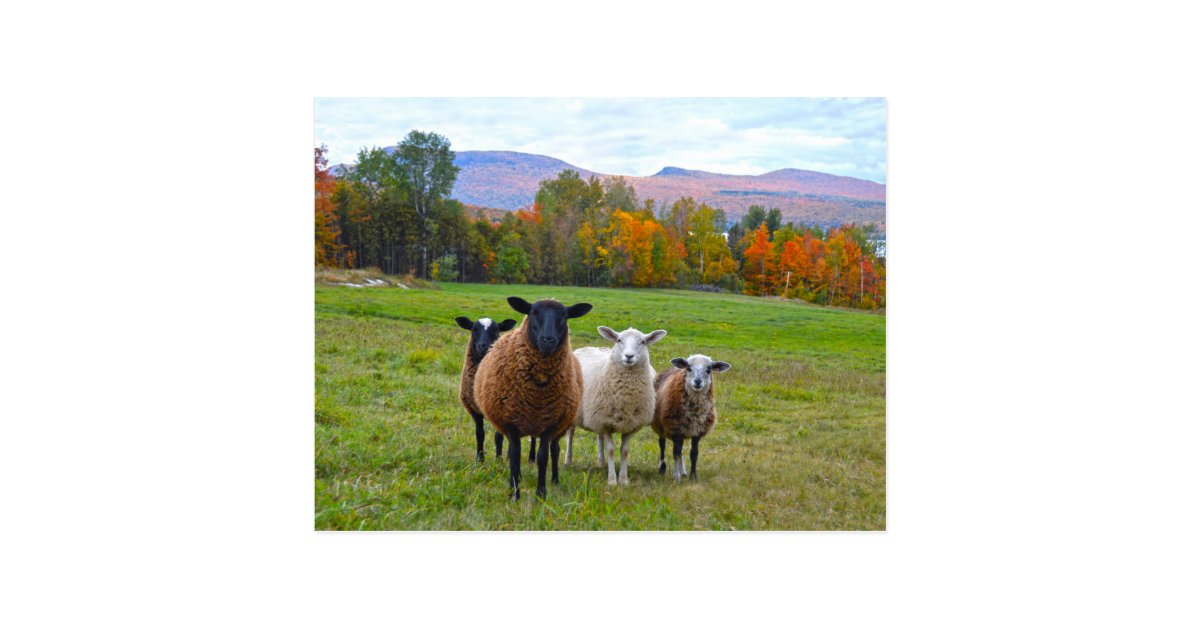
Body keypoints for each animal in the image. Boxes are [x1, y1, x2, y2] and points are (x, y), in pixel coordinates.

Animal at [455, 315, 516, 462]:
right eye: (474, 329)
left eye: (496, 330)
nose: (483, 346)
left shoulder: (499, 410)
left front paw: (499, 460)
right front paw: (479, 460)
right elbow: (479, 434)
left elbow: (498, 436)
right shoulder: (474, 409)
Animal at [473, 296, 593, 500]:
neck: (537, 393)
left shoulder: (550, 424)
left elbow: (543, 457)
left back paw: (555, 480)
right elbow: (514, 457)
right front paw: (514, 493)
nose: (548, 340)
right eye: (533, 312)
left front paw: (541, 493)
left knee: (555, 450)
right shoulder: (510, 422)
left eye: (564, 315)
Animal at [566, 326, 667, 485]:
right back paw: (568, 461)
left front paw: (623, 480)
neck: (626, 397)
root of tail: (587, 348)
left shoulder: (628, 424)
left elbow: (624, 451)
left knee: (599, 436)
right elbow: (611, 450)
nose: (629, 356)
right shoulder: (606, 423)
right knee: (571, 433)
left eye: (643, 342)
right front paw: (612, 480)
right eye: (619, 340)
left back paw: (601, 463)